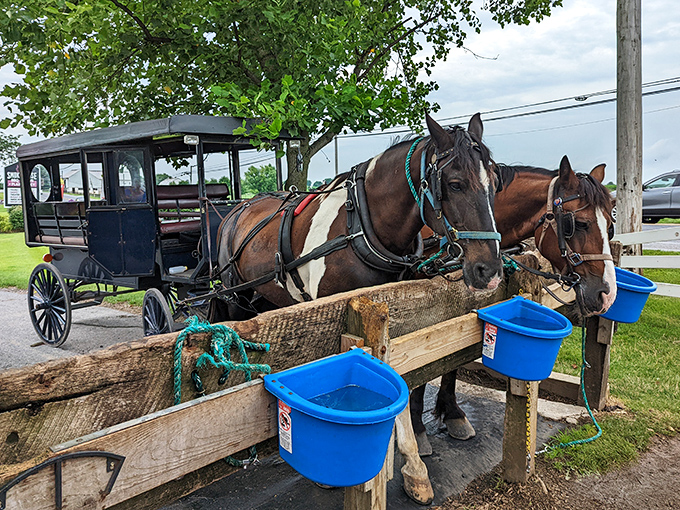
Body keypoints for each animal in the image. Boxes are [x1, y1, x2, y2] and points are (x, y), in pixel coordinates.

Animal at [213, 113, 504, 319]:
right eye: (454, 184)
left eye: (495, 182)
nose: (489, 271)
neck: (360, 226)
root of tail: (239, 208)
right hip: (235, 297)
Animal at [409, 155, 617, 456]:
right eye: (578, 223)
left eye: (610, 224)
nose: (607, 294)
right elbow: (420, 372)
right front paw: (416, 427)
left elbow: (452, 364)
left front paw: (453, 414)